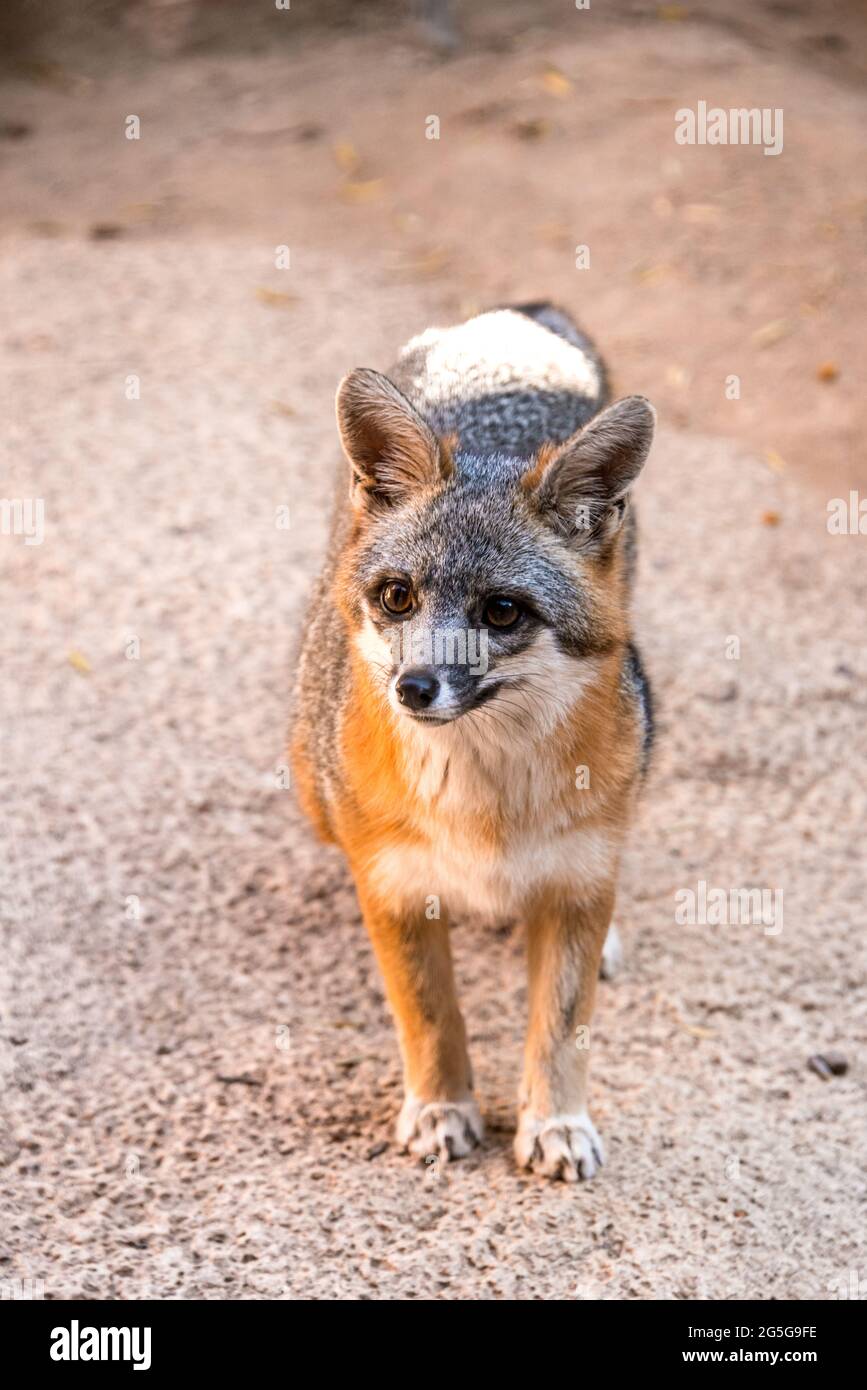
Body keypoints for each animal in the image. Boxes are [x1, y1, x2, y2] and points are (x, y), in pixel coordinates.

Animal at [290, 303, 656, 1182]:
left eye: (502, 612)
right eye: (396, 597)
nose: (413, 688)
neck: (481, 804)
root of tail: (515, 317)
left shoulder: (573, 884)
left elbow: (561, 1023)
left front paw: (555, 1122)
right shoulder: (395, 890)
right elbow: (429, 1016)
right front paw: (440, 1109)